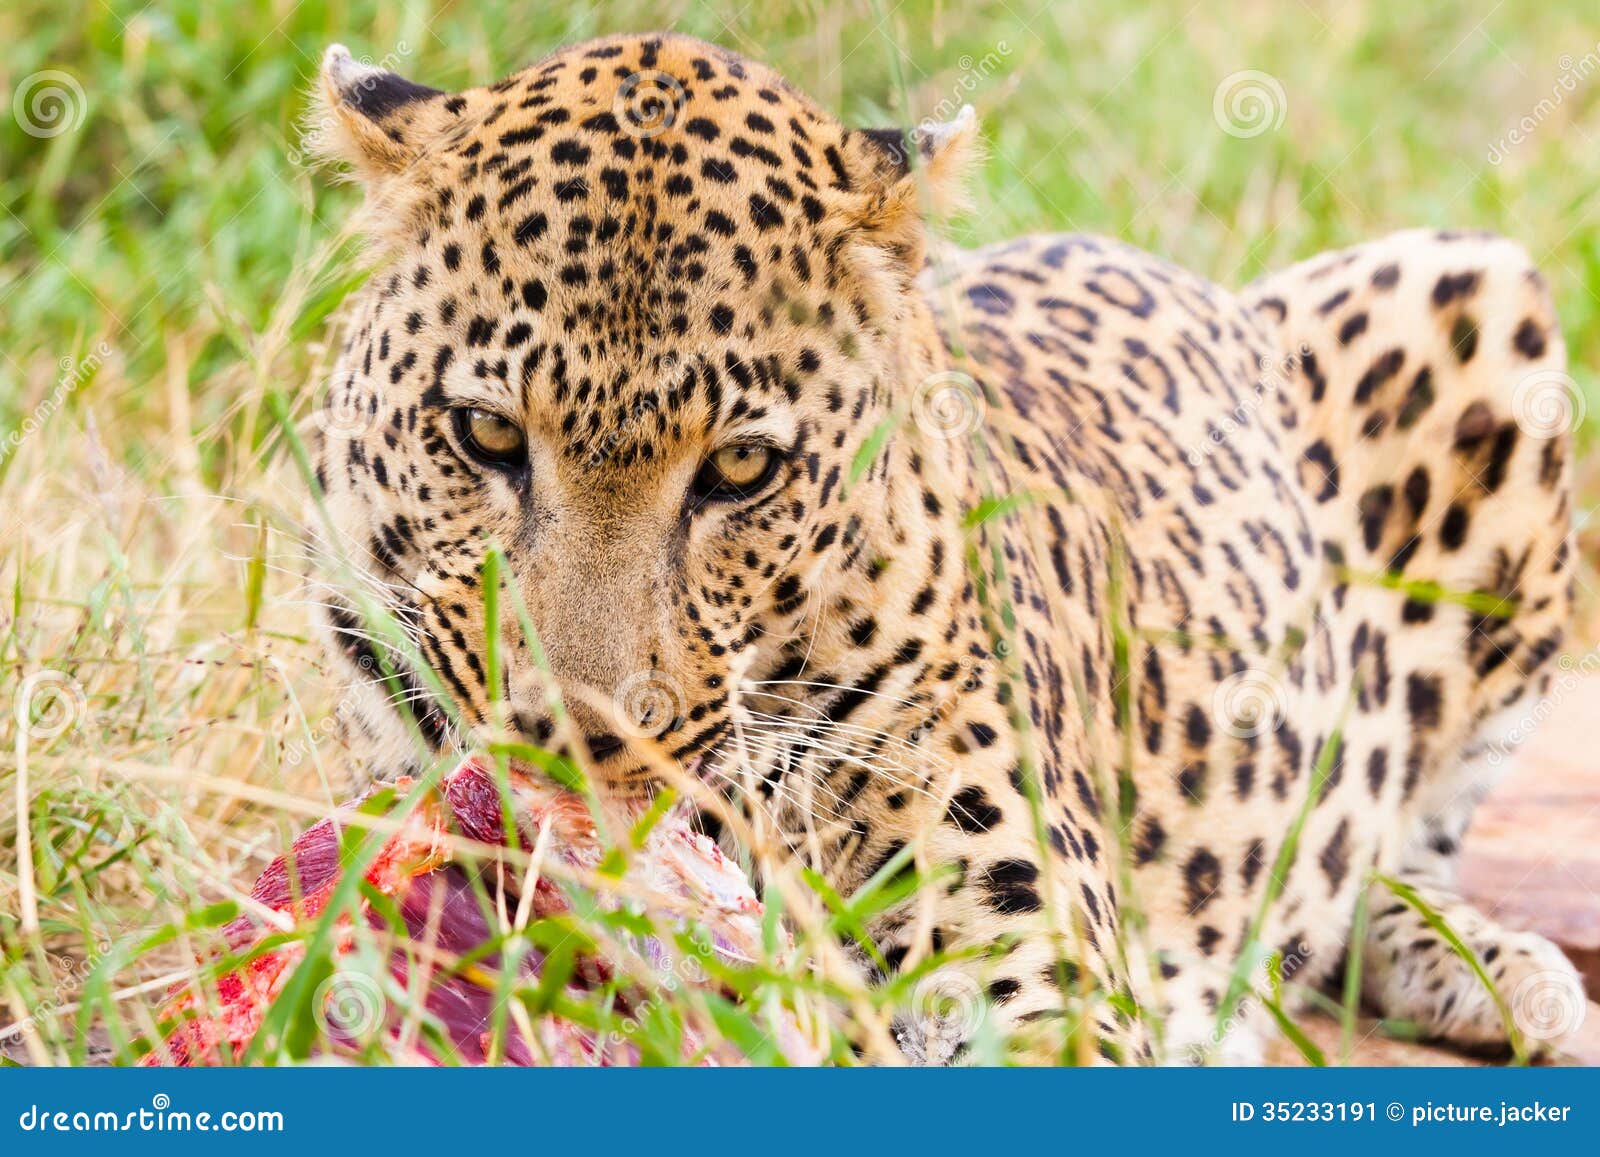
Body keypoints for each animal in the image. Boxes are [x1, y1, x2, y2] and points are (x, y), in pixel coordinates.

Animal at [305, 31, 1586, 1064]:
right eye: (484, 435)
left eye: (739, 470)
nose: (580, 736)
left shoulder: (1044, 981)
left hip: (1476, 292)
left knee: (1387, 846)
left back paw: (1504, 974)